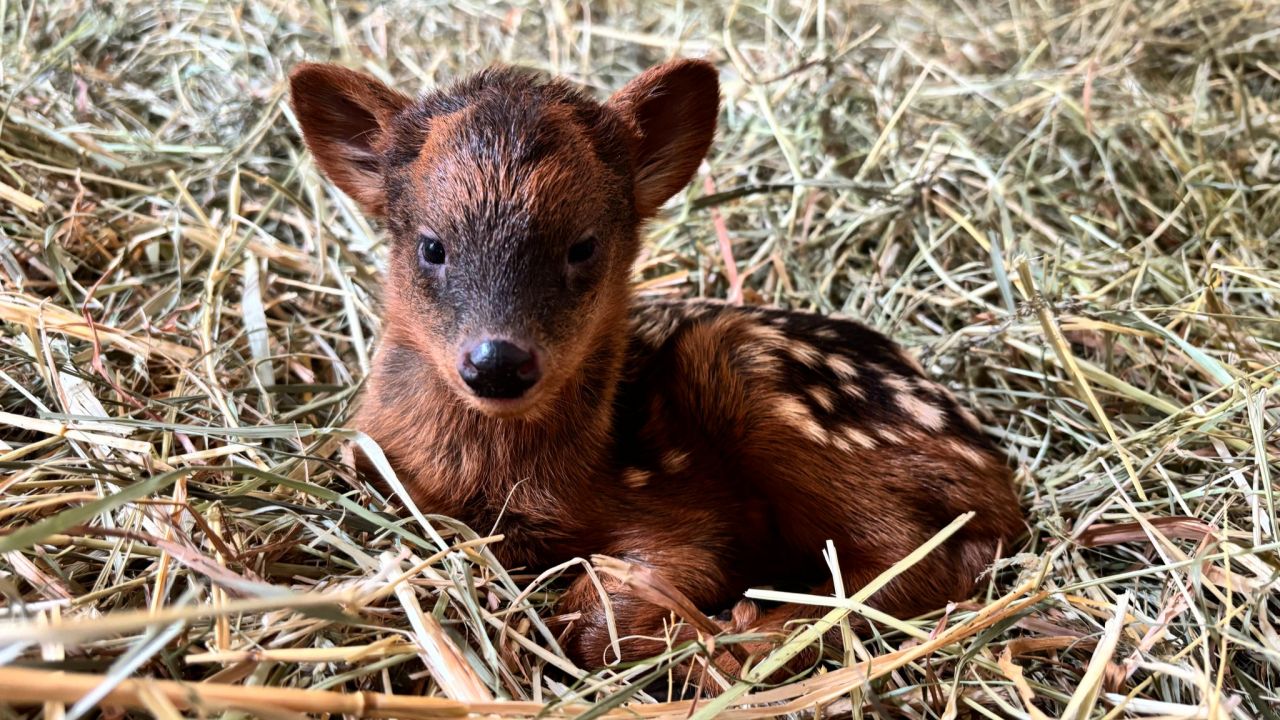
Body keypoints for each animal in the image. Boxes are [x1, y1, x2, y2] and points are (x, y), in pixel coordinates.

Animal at [289, 57, 1023, 678]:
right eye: (432, 246)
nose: (497, 363)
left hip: (750, 370)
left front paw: (666, 630)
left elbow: (615, 608)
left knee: (913, 556)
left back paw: (744, 639)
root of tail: (995, 473)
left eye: (583, 246)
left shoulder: (686, 524)